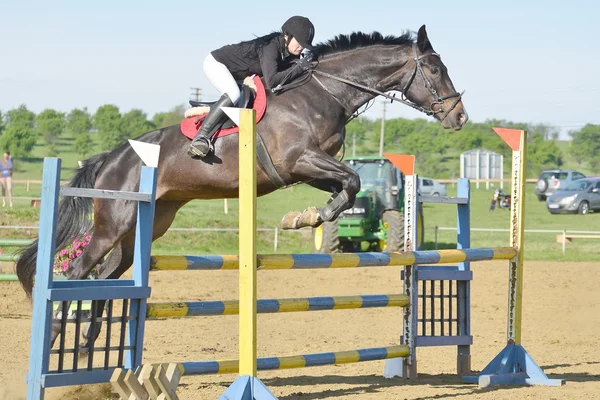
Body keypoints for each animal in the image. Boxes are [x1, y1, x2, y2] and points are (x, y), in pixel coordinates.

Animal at [16, 26, 468, 348]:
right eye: (434, 70)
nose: (459, 116)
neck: (323, 92)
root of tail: (111, 158)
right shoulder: (298, 160)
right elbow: (353, 179)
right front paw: (311, 217)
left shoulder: (307, 169)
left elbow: (348, 186)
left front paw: (306, 216)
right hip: (112, 223)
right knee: (77, 270)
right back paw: (57, 334)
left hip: (144, 228)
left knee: (107, 276)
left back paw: (90, 344)